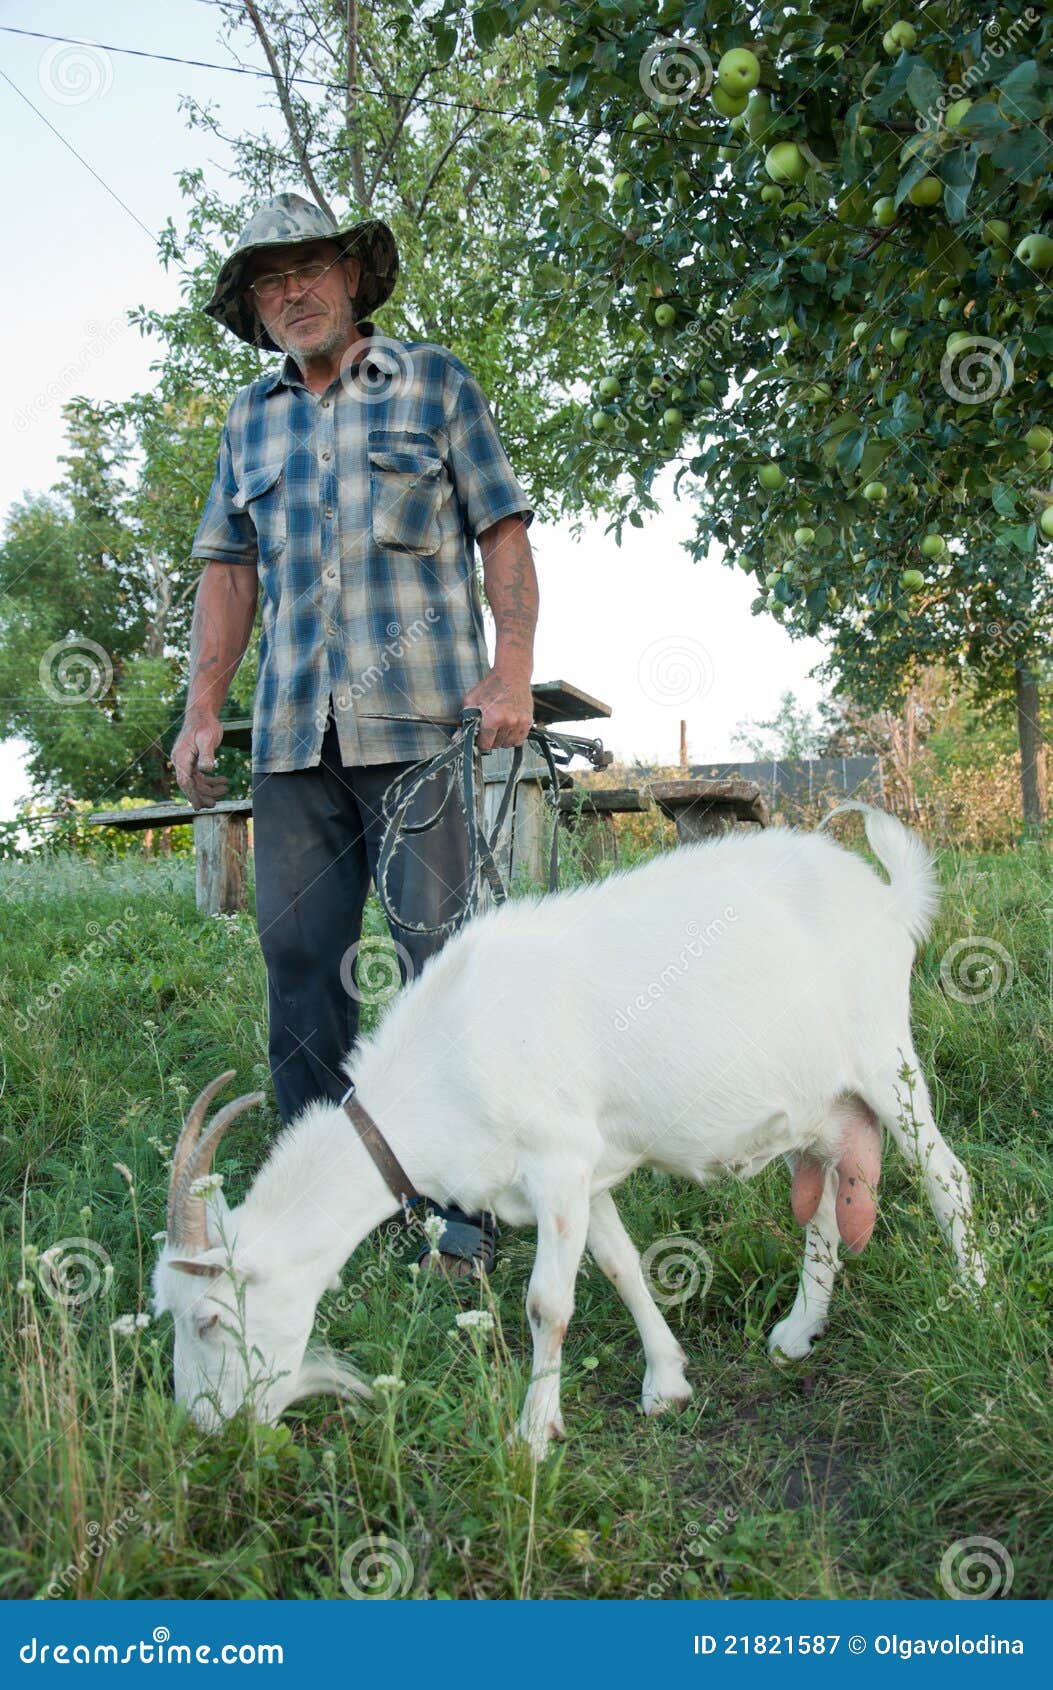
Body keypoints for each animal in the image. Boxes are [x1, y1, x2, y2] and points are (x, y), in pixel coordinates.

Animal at [153, 804, 985, 1458]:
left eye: (209, 1318)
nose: (205, 1430)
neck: (446, 1060)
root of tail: (887, 898)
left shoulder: (557, 1158)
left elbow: (547, 1305)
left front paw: (533, 1434)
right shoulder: (585, 1173)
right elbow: (618, 1267)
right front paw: (666, 1383)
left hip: (883, 1056)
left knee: (945, 1175)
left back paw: (973, 1297)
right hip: (819, 1102)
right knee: (823, 1201)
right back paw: (797, 1330)